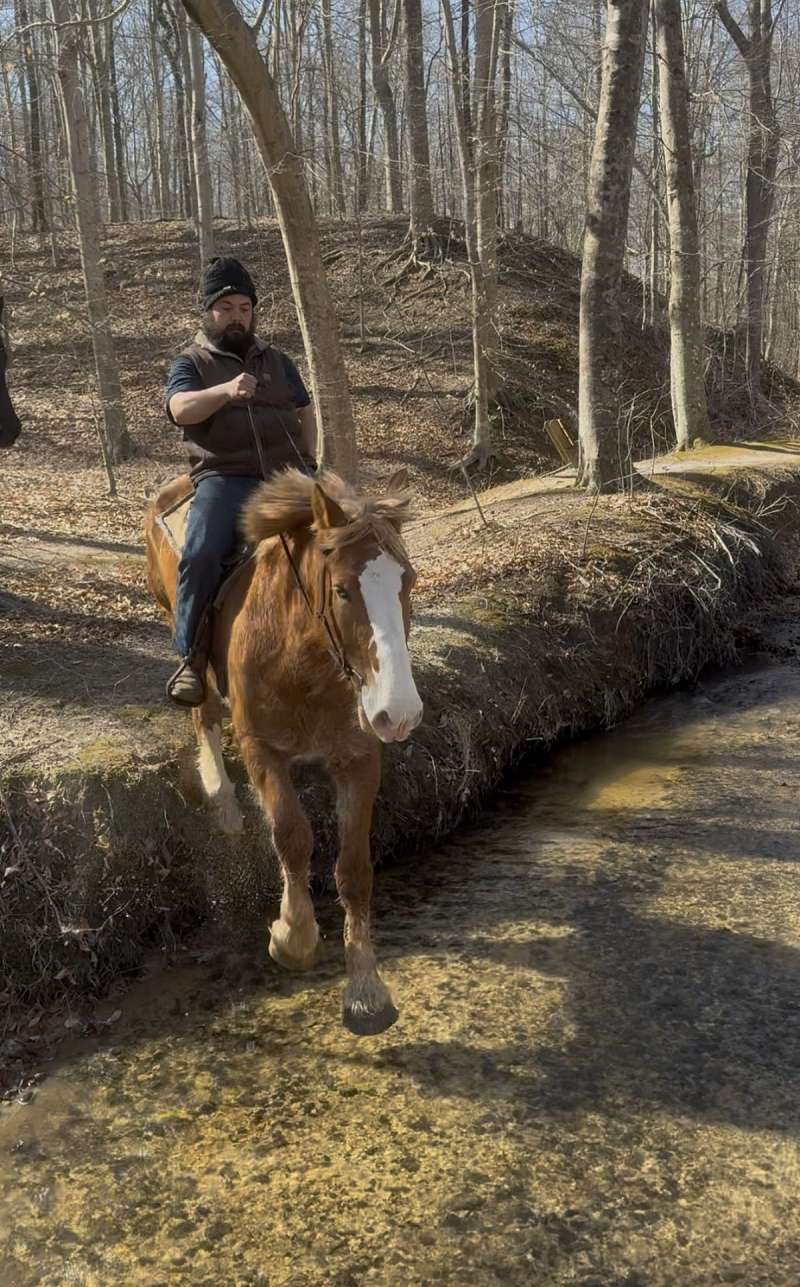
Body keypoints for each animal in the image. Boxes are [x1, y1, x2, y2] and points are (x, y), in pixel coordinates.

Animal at [145, 466, 423, 1035]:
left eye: (407, 582)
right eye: (341, 590)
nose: (399, 712)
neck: (301, 658)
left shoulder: (359, 757)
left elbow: (354, 870)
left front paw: (366, 991)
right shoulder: (262, 750)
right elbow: (293, 837)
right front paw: (293, 936)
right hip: (177, 629)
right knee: (203, 710)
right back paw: (223, 799)